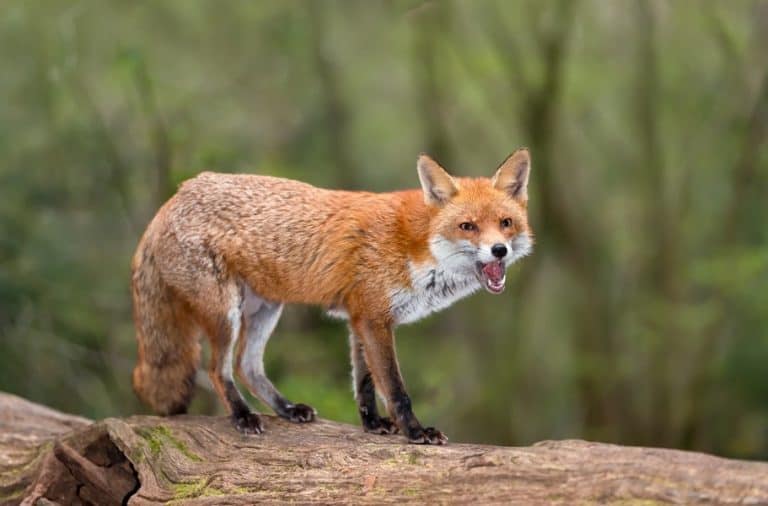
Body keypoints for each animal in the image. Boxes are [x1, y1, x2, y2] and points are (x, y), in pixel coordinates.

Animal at [131, 148, 533, 444]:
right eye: (468, 226)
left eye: (506, 223)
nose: (499, 250)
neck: (415, 246)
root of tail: (175, 196)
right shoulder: (373, 318)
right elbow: (395, 388)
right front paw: (415, 431)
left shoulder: (360, 317)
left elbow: (365, 384)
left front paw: (374, 425)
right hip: (225, 313)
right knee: (219, 369)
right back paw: (243, 416)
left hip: (266, 309)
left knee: (248, 365)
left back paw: (287, 409)